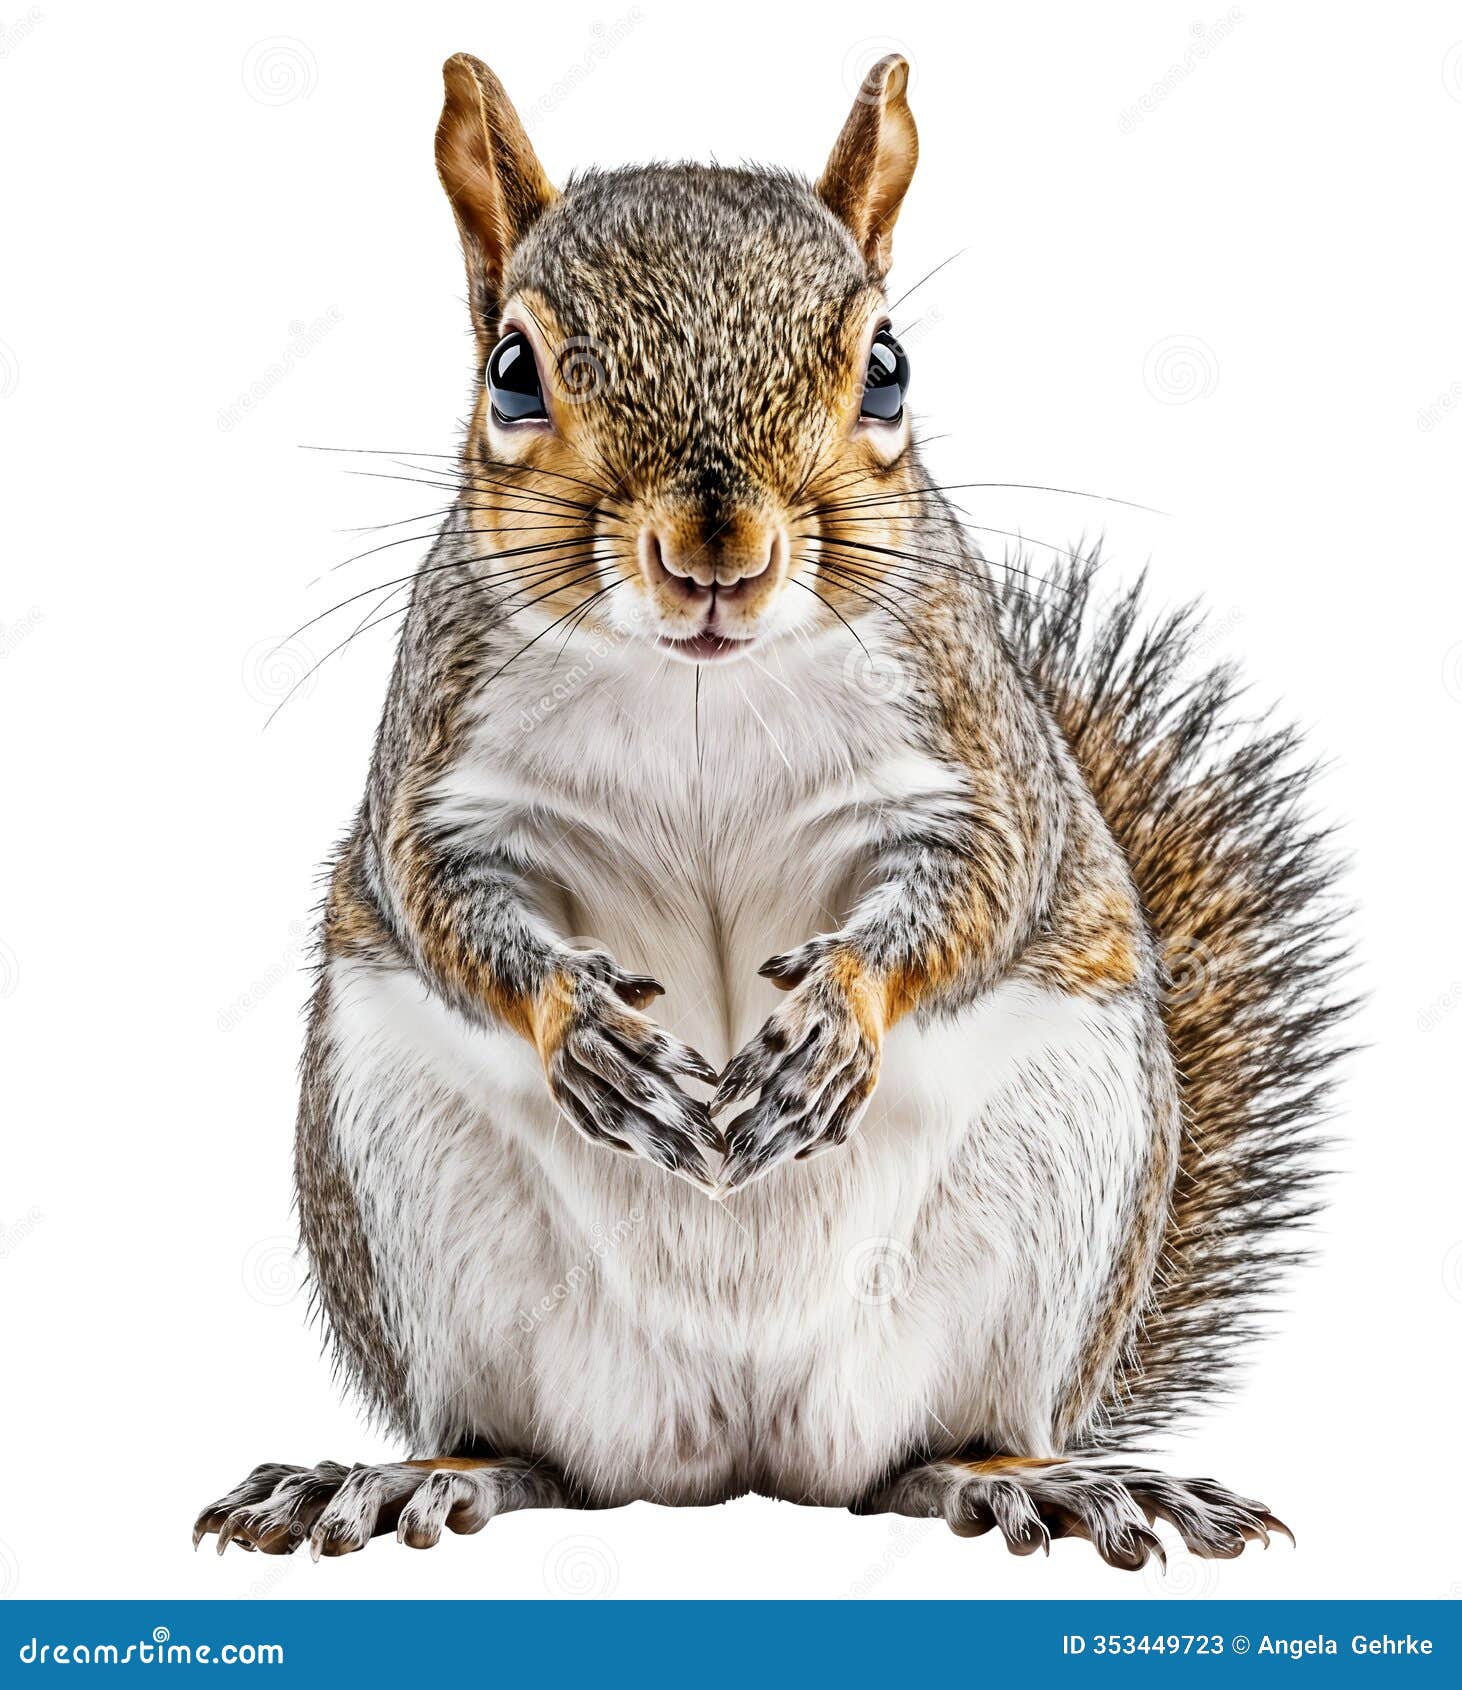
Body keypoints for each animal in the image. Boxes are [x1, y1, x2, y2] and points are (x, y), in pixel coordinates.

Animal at [194, 53, 1348, 1570]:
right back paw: (408, 1475)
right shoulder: (442, 776)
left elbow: (982, 887)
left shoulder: (973, 759)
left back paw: (1034, 1479)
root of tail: (737, 1449)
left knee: (929, 1452)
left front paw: (830, 1025)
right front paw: (586, 1030)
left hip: (1055, 1199)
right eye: (511, 372)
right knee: (530, 1449)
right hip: (416, 1207)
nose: (715, 554)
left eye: (887, 366)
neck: (700, 690)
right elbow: (438, 902)